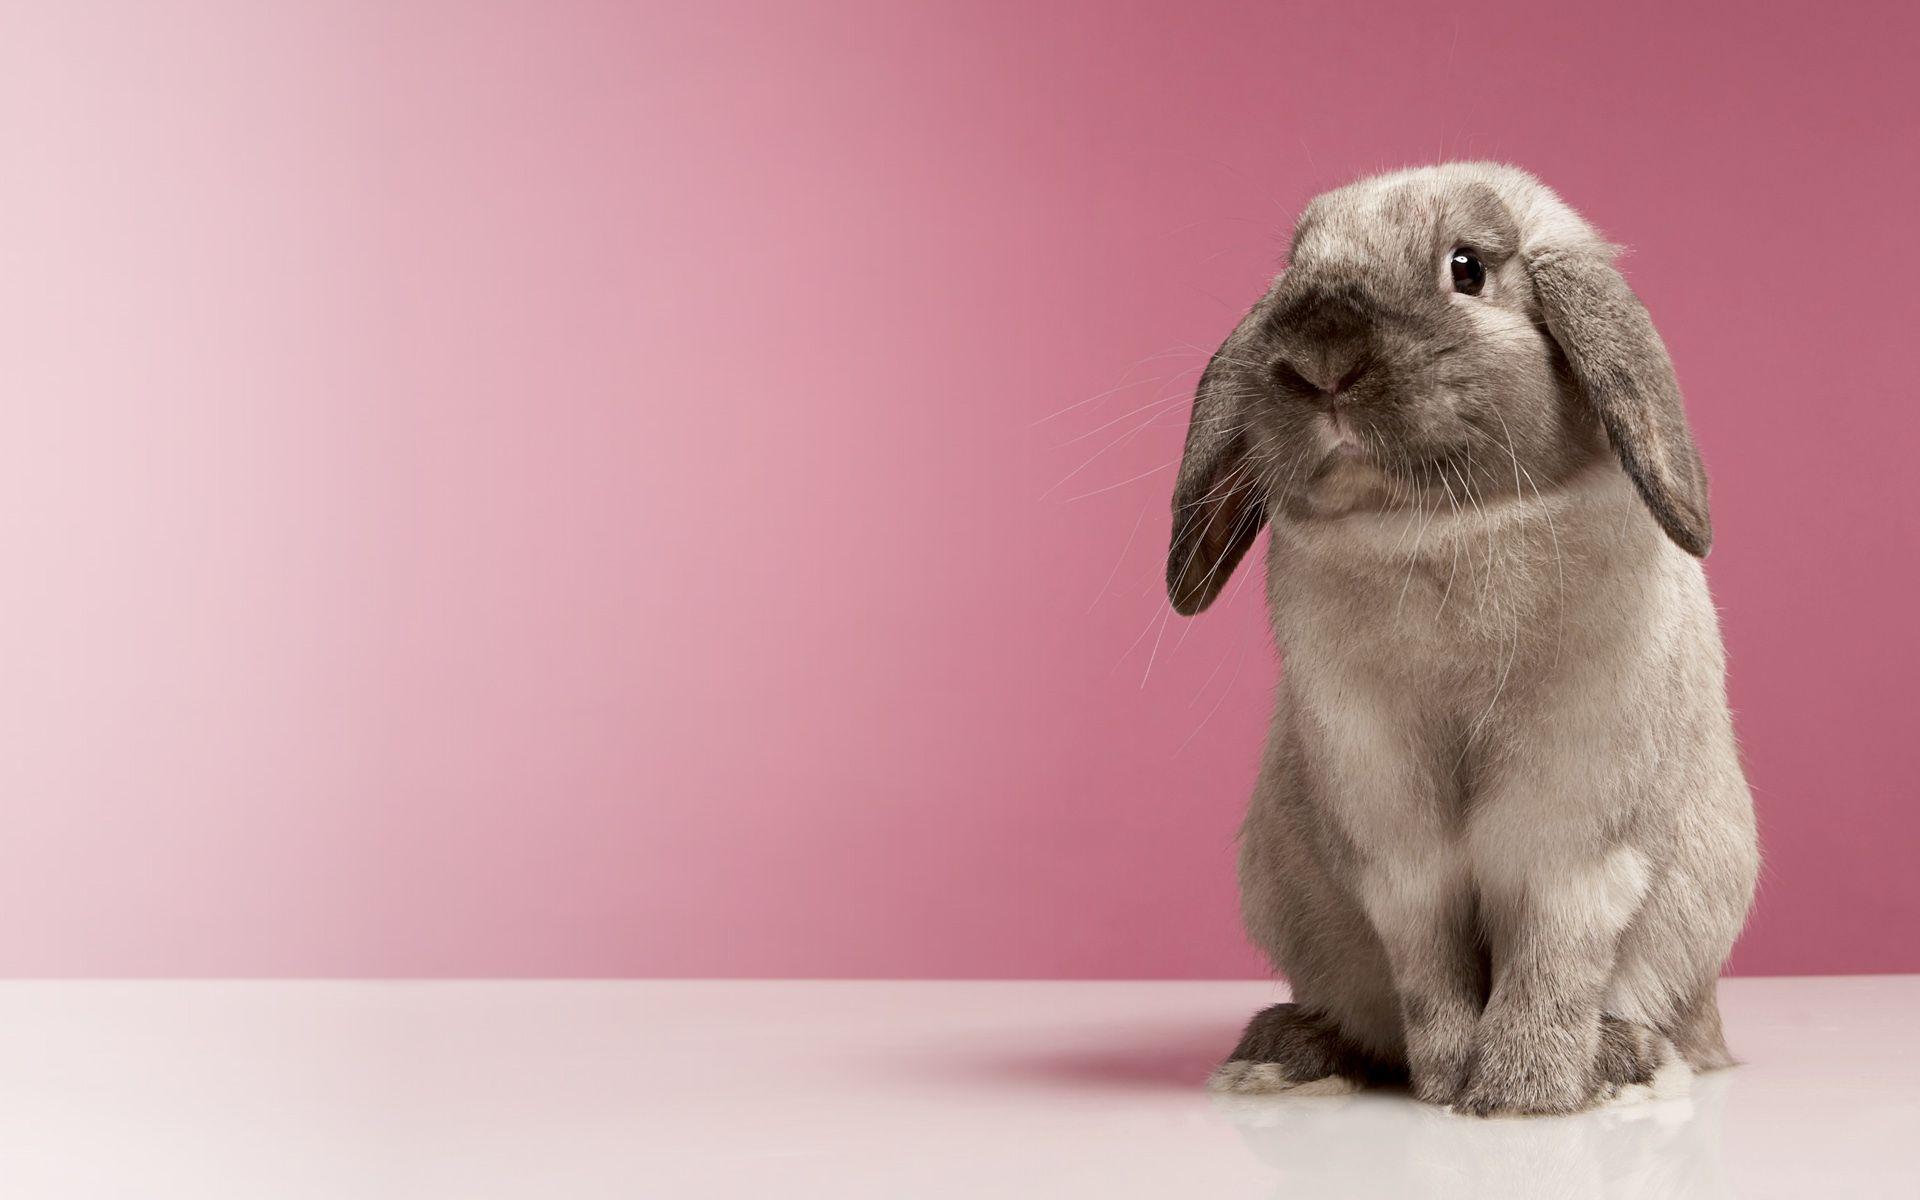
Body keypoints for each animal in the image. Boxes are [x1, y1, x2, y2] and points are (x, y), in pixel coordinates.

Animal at [1168, 163, 1757, 1117]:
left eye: (1468, 267)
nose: (1321, 357)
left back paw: (1621, 1061)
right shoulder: (1393, 841)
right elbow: (1429, 961)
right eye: (1296, 265)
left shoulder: (1575, 831)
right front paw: (1447, 1081)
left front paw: (1524, 1093)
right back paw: (1286, 1054)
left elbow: (1552, 952)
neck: (1437, 531)